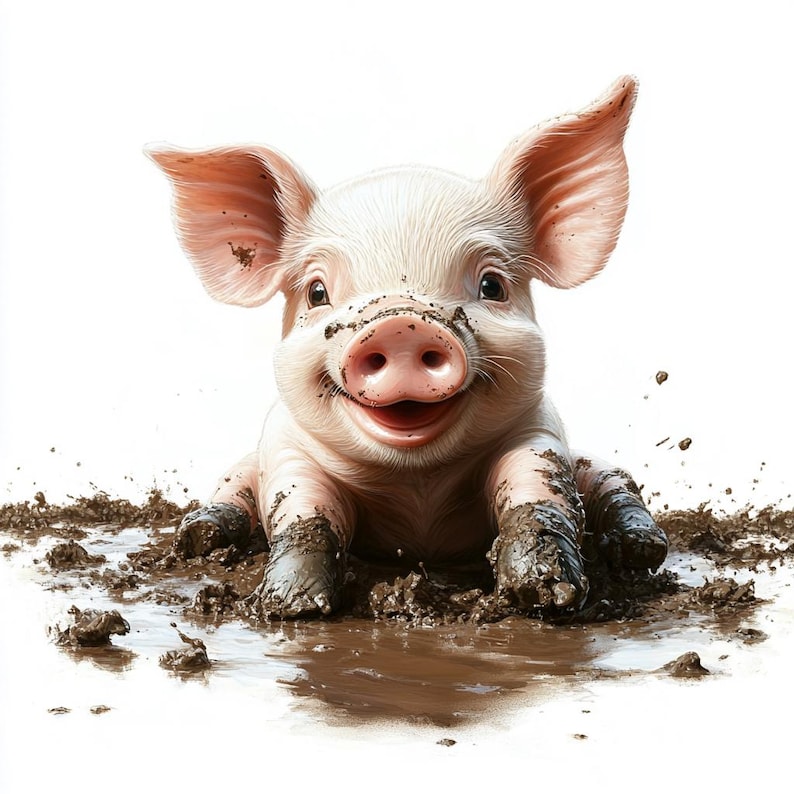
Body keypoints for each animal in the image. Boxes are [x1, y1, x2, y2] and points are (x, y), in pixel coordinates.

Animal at [147, 75, 667, 619]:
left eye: (492, 286)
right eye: (317, 292)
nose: (402, 325)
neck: (416, 491)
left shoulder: (538, 434)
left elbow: (537, 494)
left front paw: (545, 597)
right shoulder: (288, 454)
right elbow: (304, 514)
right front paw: (292, 607)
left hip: (598, 467)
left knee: (618, 486)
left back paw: (641, 549)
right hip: (242, 468)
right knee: (229, 491)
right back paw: (198, 538)